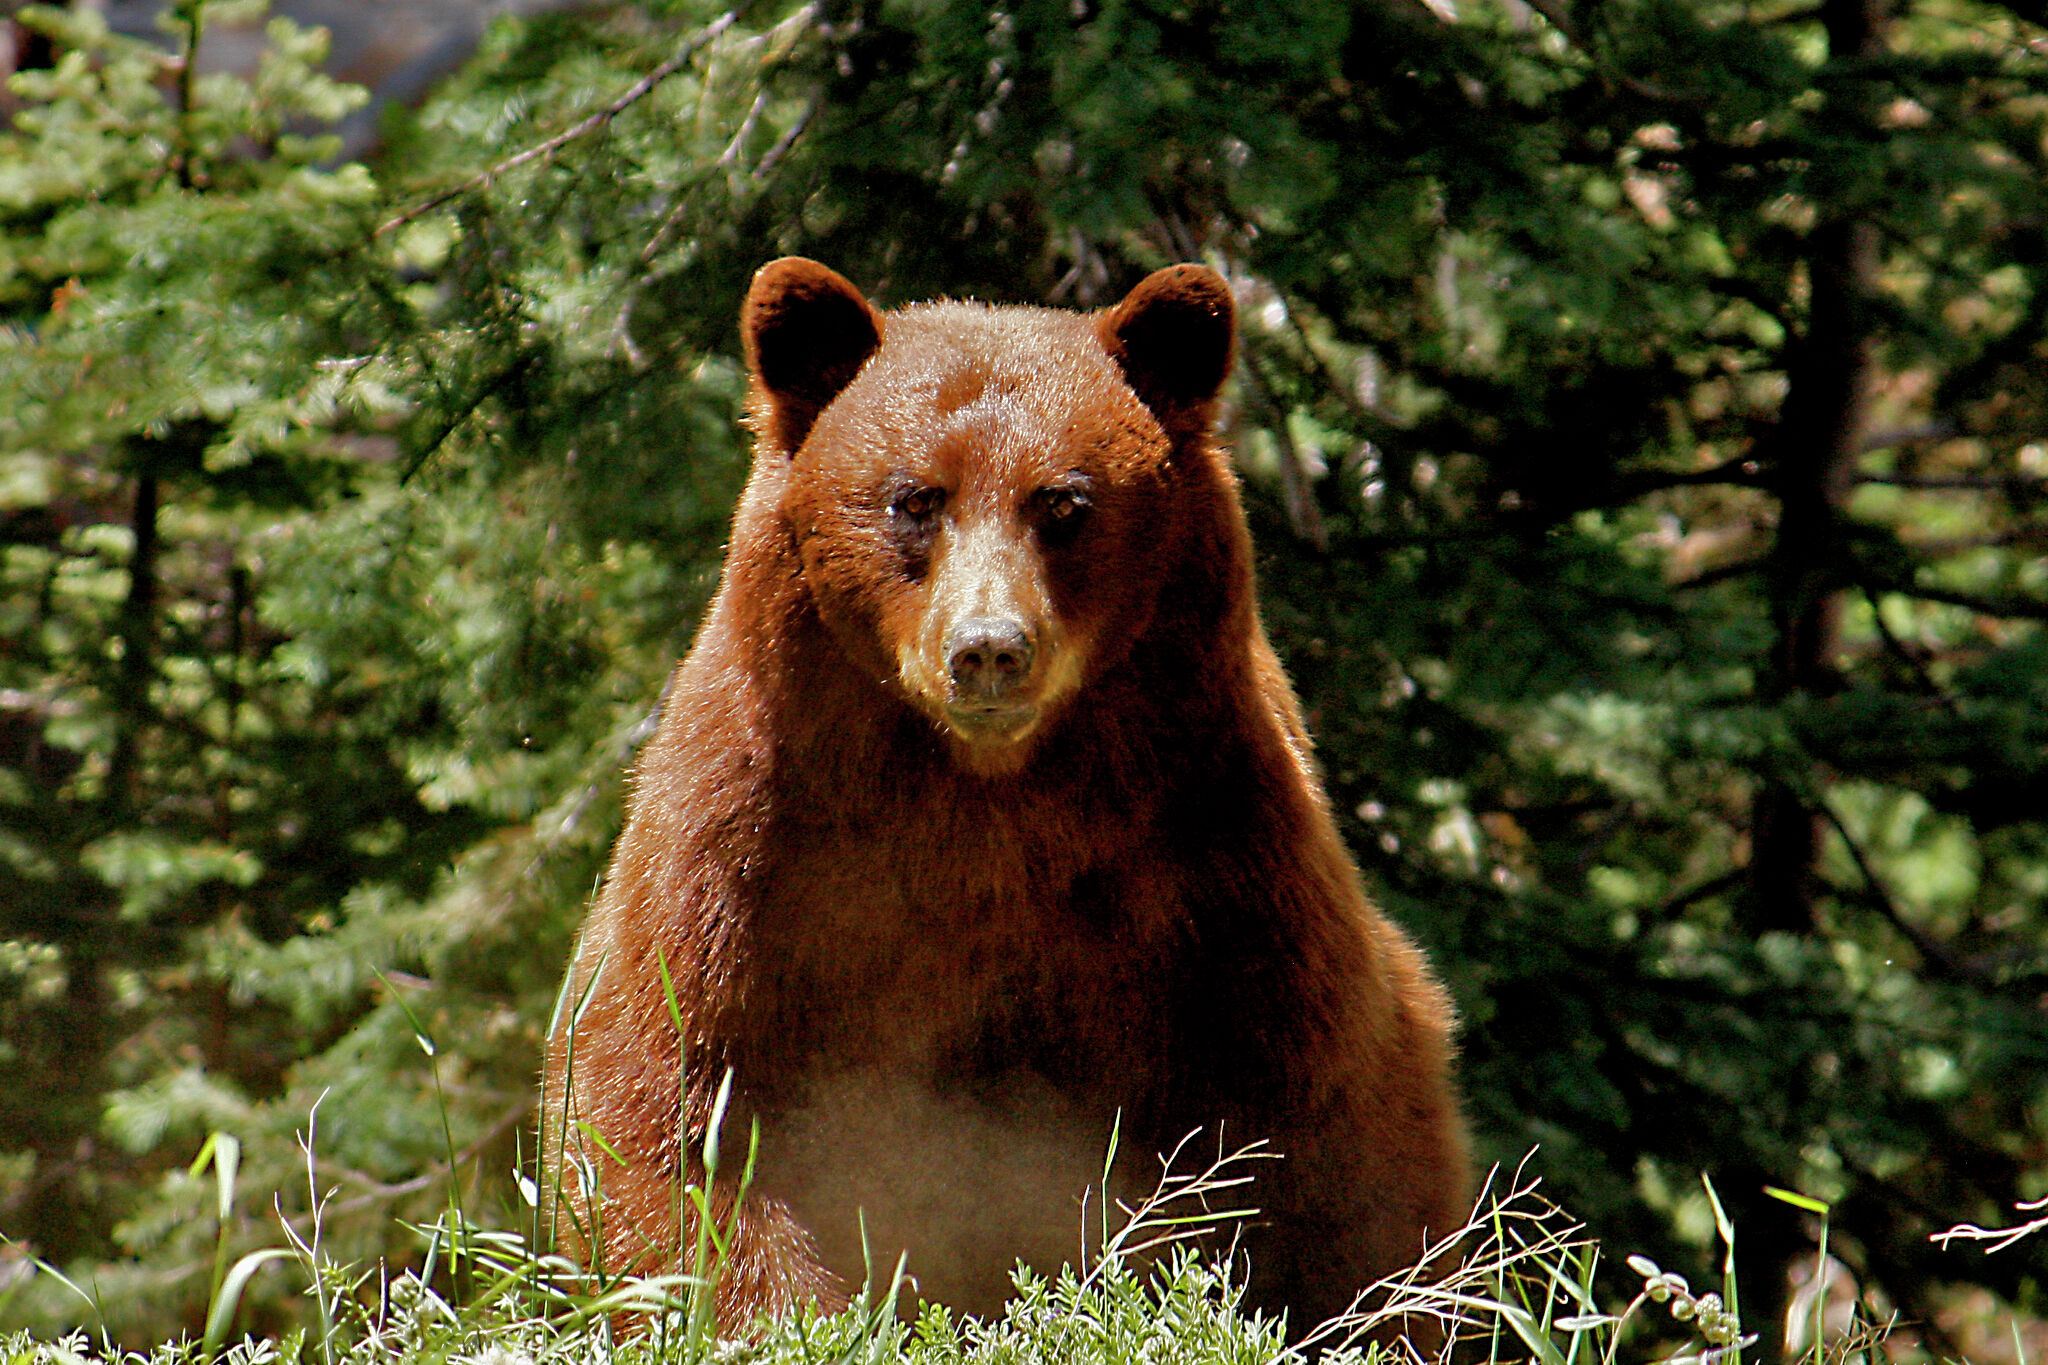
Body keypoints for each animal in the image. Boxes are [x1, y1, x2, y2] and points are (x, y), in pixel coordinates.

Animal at [542, 257, 1468, 1336]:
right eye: (915, 499)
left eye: (1063, 502)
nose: (988, 648)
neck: (985, 798)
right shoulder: (752, 856)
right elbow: (674, 1113)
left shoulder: (1215, 865)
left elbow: (1326, 1136)